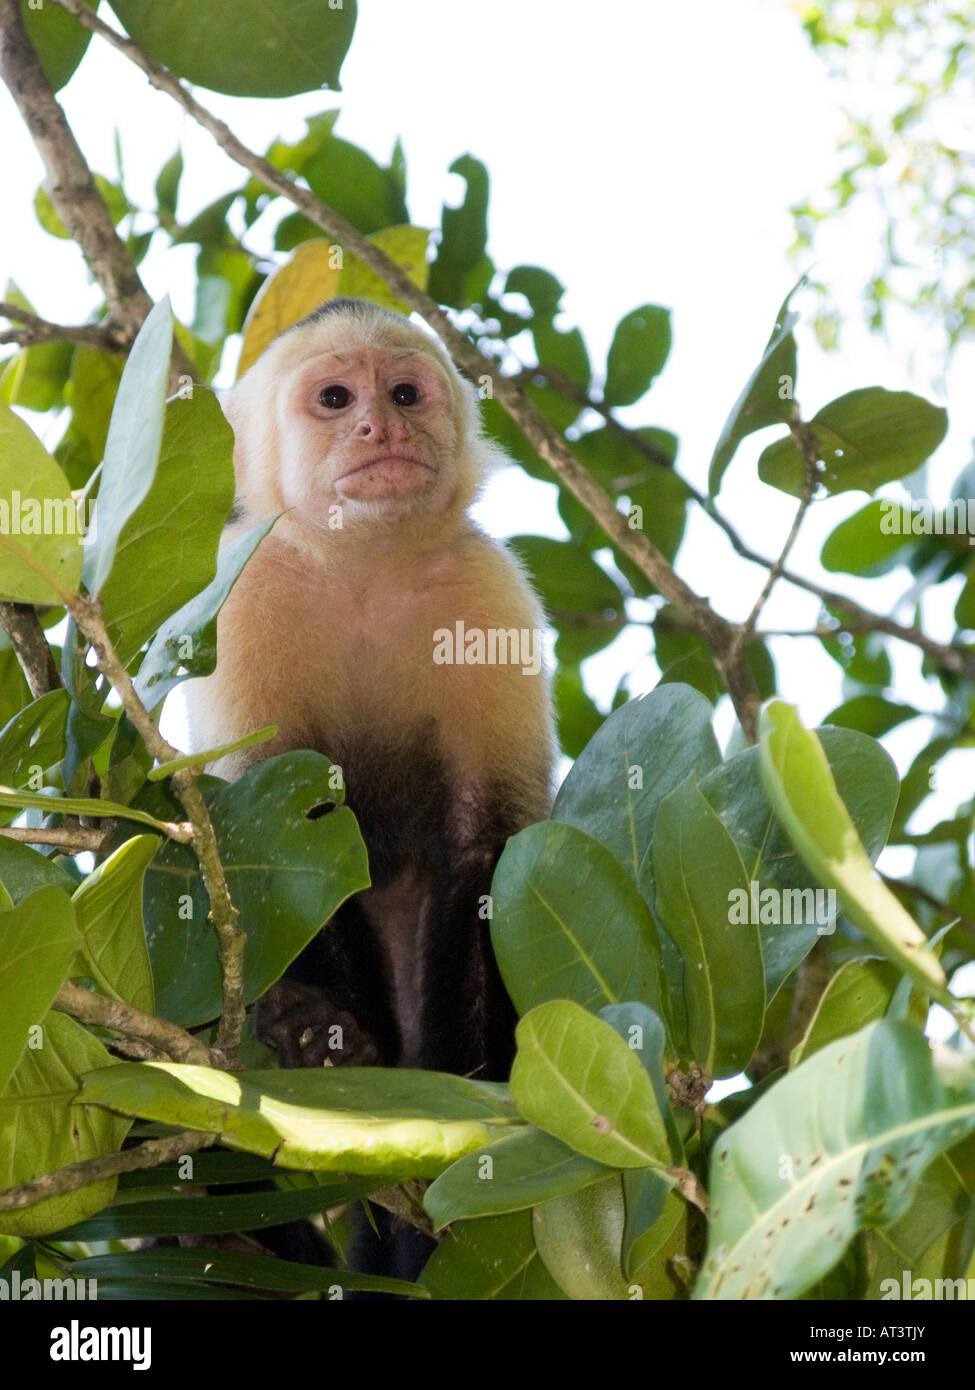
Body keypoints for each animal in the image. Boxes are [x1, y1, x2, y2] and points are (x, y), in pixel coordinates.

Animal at [183, 297, 557, 1085]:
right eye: (336, 399)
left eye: (405, 395)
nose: (380, 428)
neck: (365, 567)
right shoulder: (246, 592)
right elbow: (285, 825)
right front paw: (328, 1033)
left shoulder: (490, 593)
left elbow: (485, 842)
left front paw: (473, 1074)